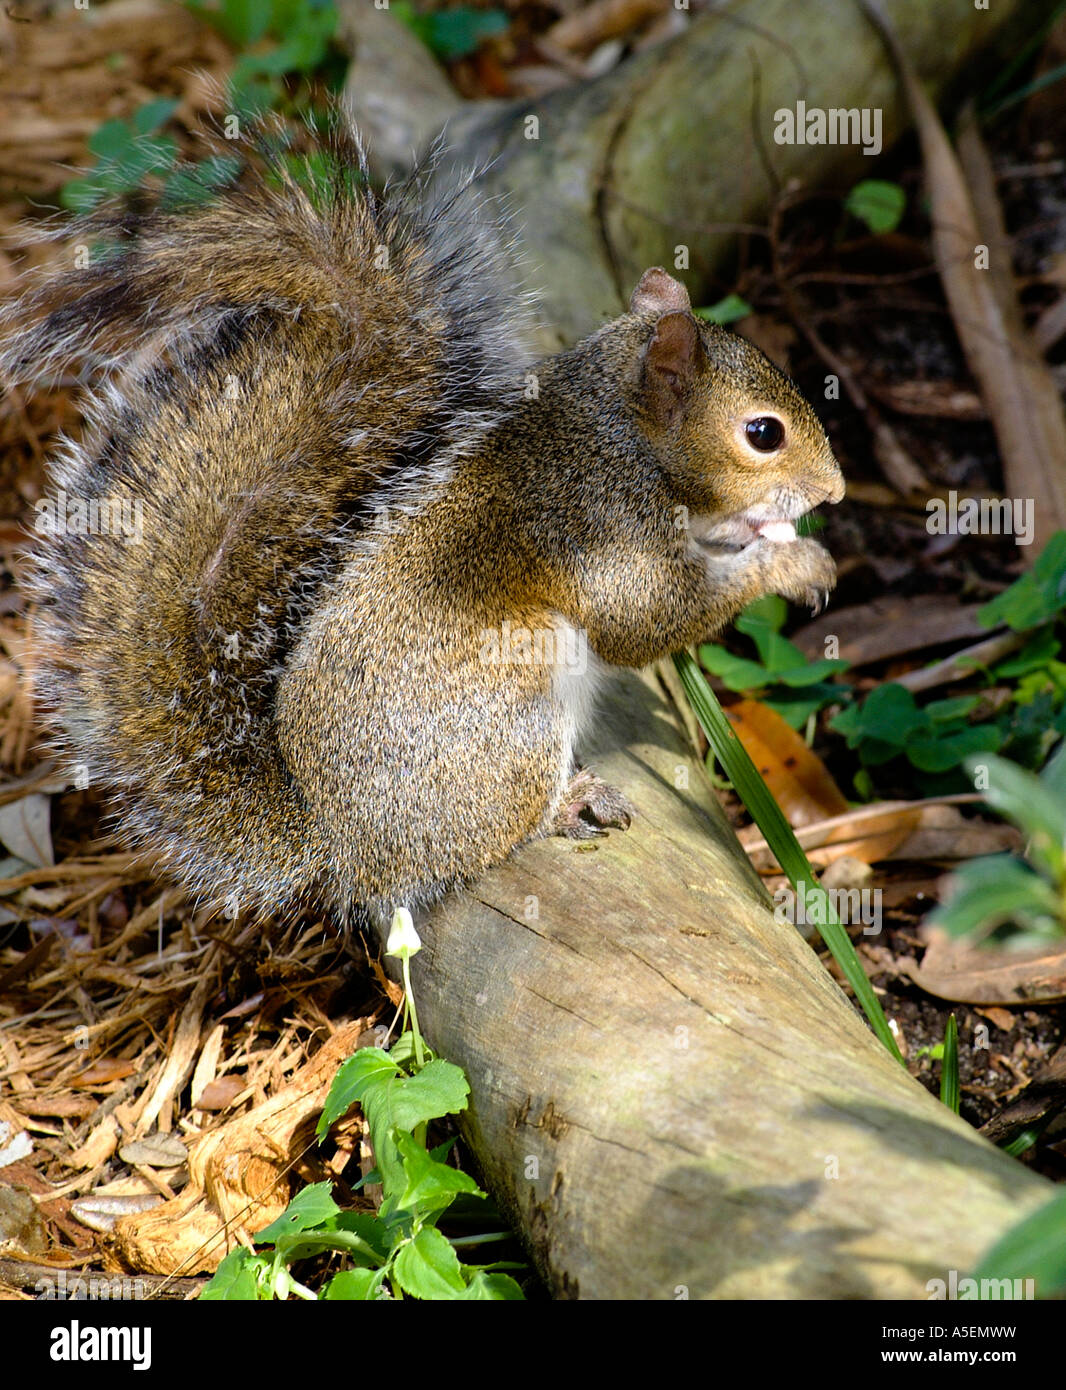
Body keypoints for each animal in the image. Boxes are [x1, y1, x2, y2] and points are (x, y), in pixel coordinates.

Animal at [2, 129, 845, 927]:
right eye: (763, 434)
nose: (835, 490)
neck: (618, 436)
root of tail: (339, 845)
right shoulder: (600, 527)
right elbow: (648, 621)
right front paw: (794, 566)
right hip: (511, 704)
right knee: (488, 837)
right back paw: (565, 806)